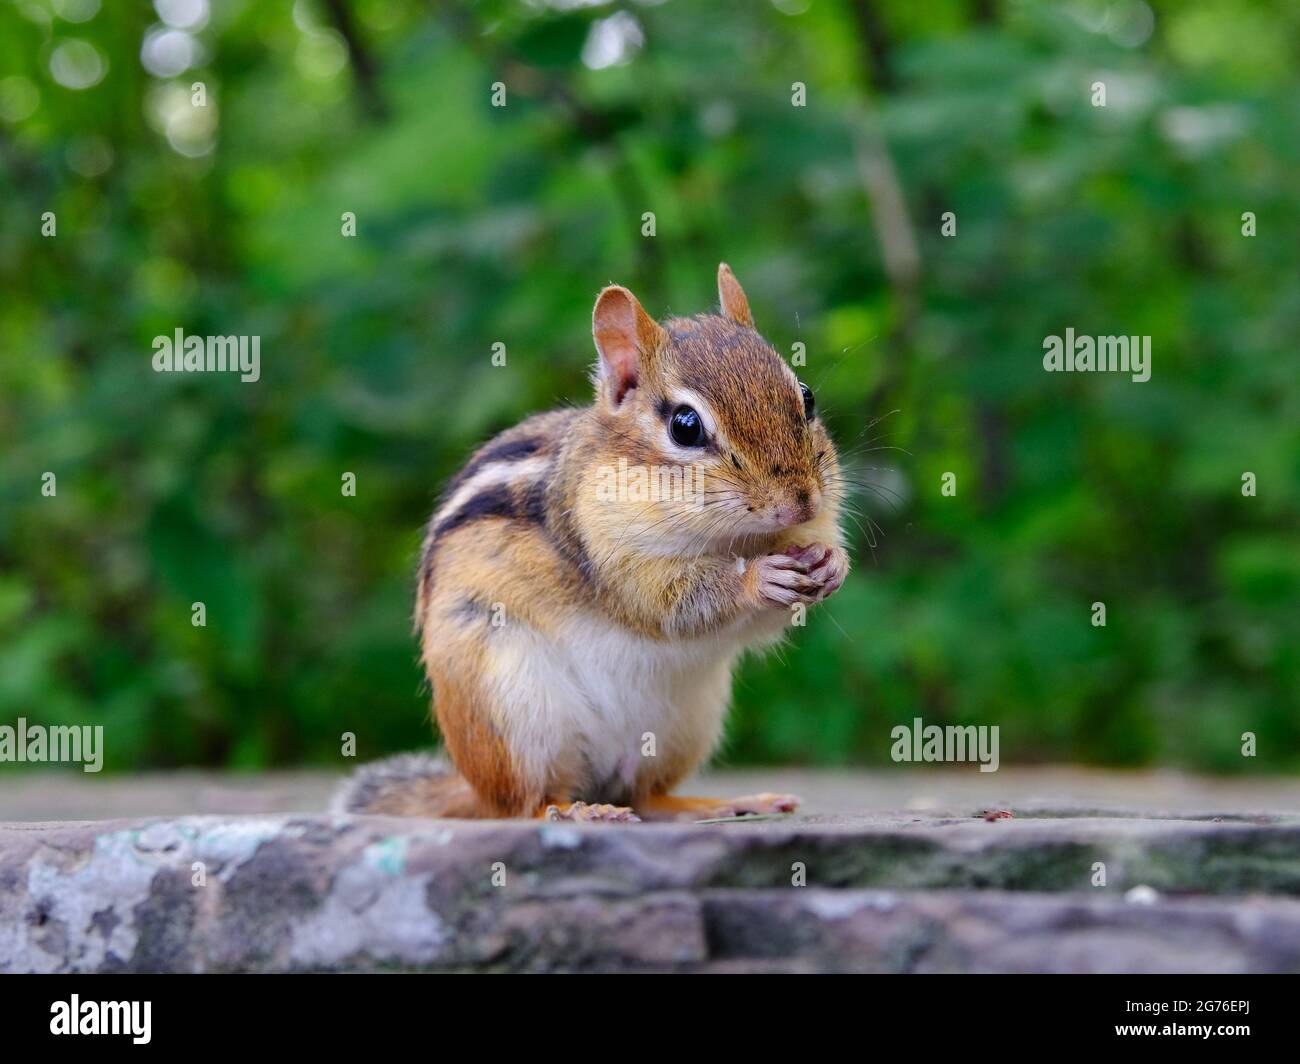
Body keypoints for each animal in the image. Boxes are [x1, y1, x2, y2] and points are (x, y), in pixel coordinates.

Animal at [334, 264, 849, 823]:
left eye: (806, 396)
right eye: (685, 426)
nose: (800, 502)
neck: (733, 539)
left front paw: (834, 563)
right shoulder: (606, 554)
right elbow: (670, 602)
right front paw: (759, 577)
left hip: (687, 721)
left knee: (645, 794)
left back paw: (721, 802)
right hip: (512, 712)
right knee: (526, 802)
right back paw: (578, 811)